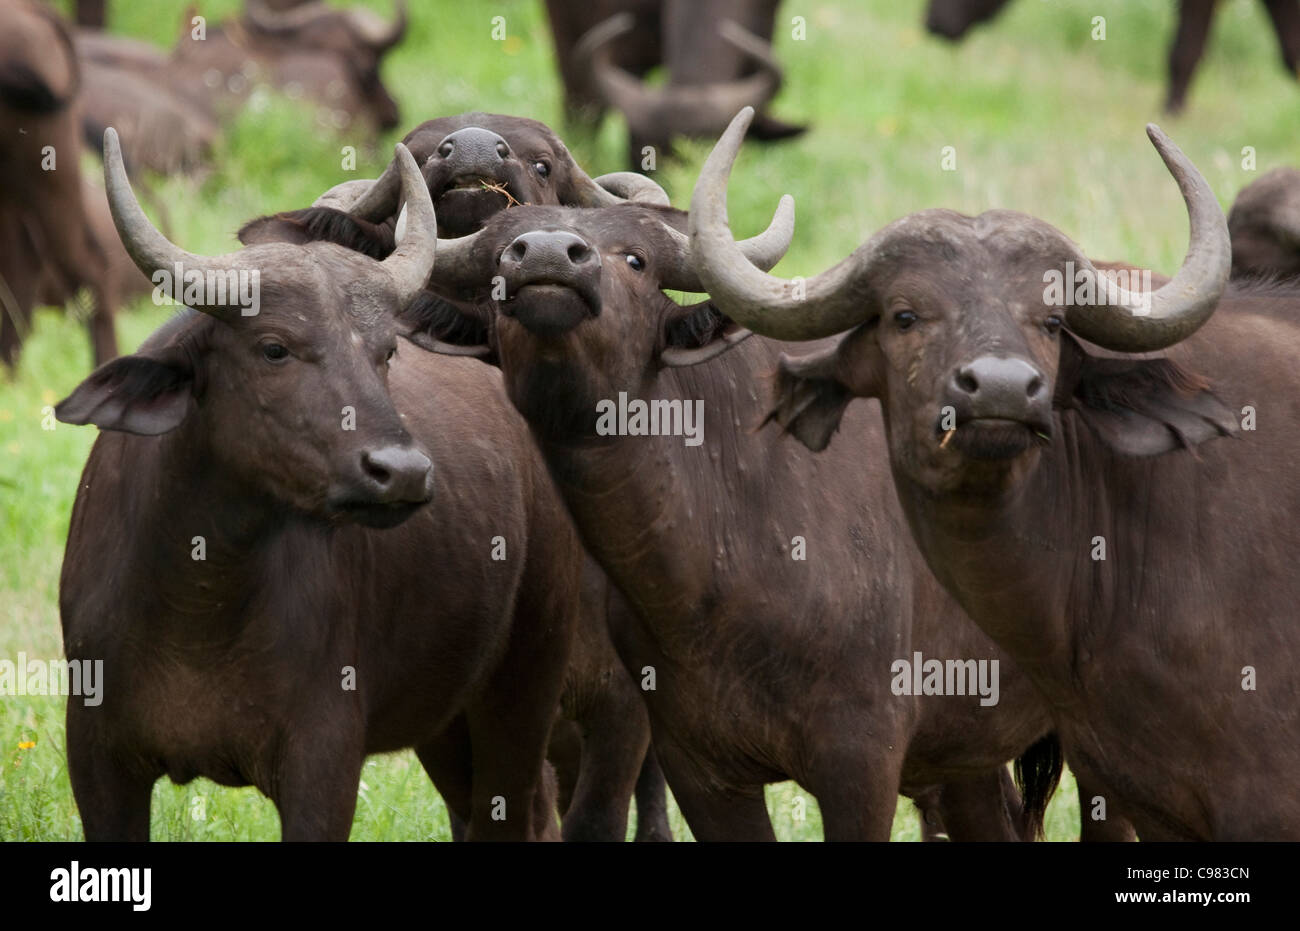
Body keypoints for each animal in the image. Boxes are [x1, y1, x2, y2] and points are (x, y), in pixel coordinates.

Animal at [54, 131, 580, 841]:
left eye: (386, 352)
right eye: (274, 347)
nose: (402, 471)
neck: (197, 603)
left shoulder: (323, 766)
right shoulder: (97, 762)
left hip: (524, 682)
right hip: (446, 720)